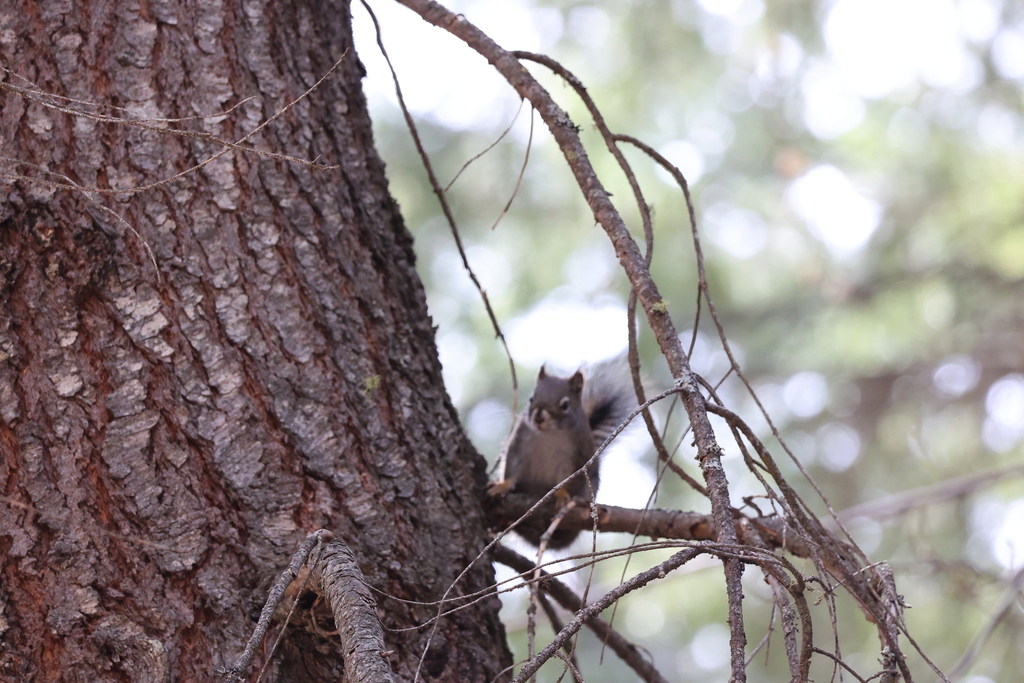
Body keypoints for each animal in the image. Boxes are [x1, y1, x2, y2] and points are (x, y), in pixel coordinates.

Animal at [488, 359, 635, 548]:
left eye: (565, 405)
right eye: (531, 399)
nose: (539, 417)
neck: (550, 434)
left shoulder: (576, 456)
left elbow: (567, 478)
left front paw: (562, 495)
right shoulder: (519, 442)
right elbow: (512, 467)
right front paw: (502, 485)